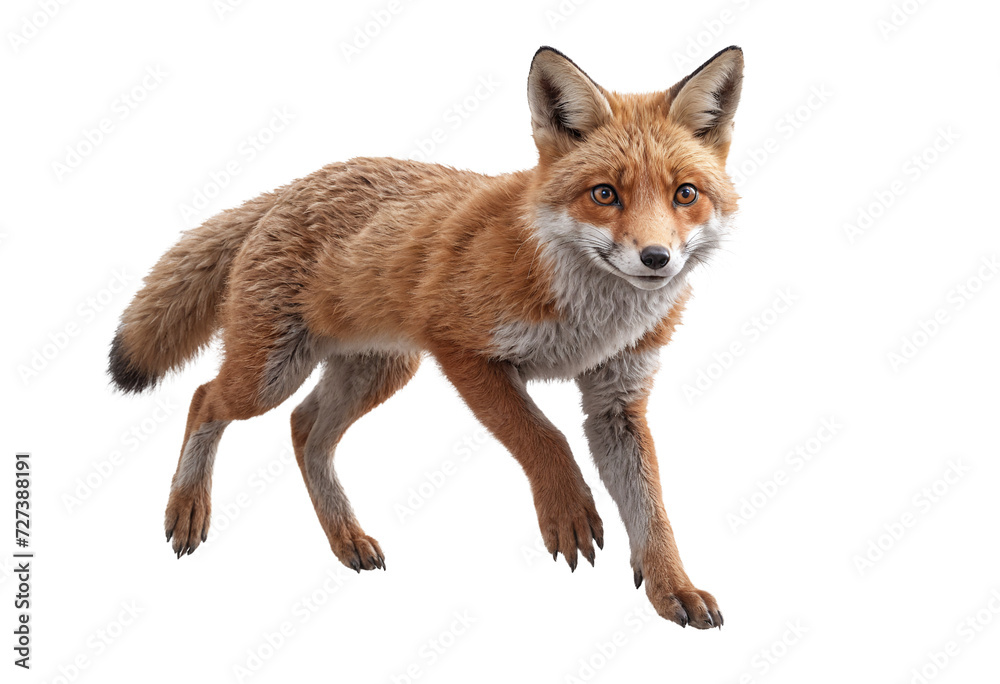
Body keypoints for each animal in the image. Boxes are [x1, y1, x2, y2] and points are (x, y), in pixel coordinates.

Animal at [109, 45, 744, 629]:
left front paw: (670, 587)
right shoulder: (461, 348)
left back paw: (346, 537)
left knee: (304, 430)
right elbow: (543, 437)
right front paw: (567, 510)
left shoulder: (617, 400)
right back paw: (188, 508)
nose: (656, 258)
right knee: (205, 399)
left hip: (380, 372)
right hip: (272, 374)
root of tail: (295, 184)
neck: (589, 319)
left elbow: (653, 511)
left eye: (685, 194)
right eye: (605, 193)